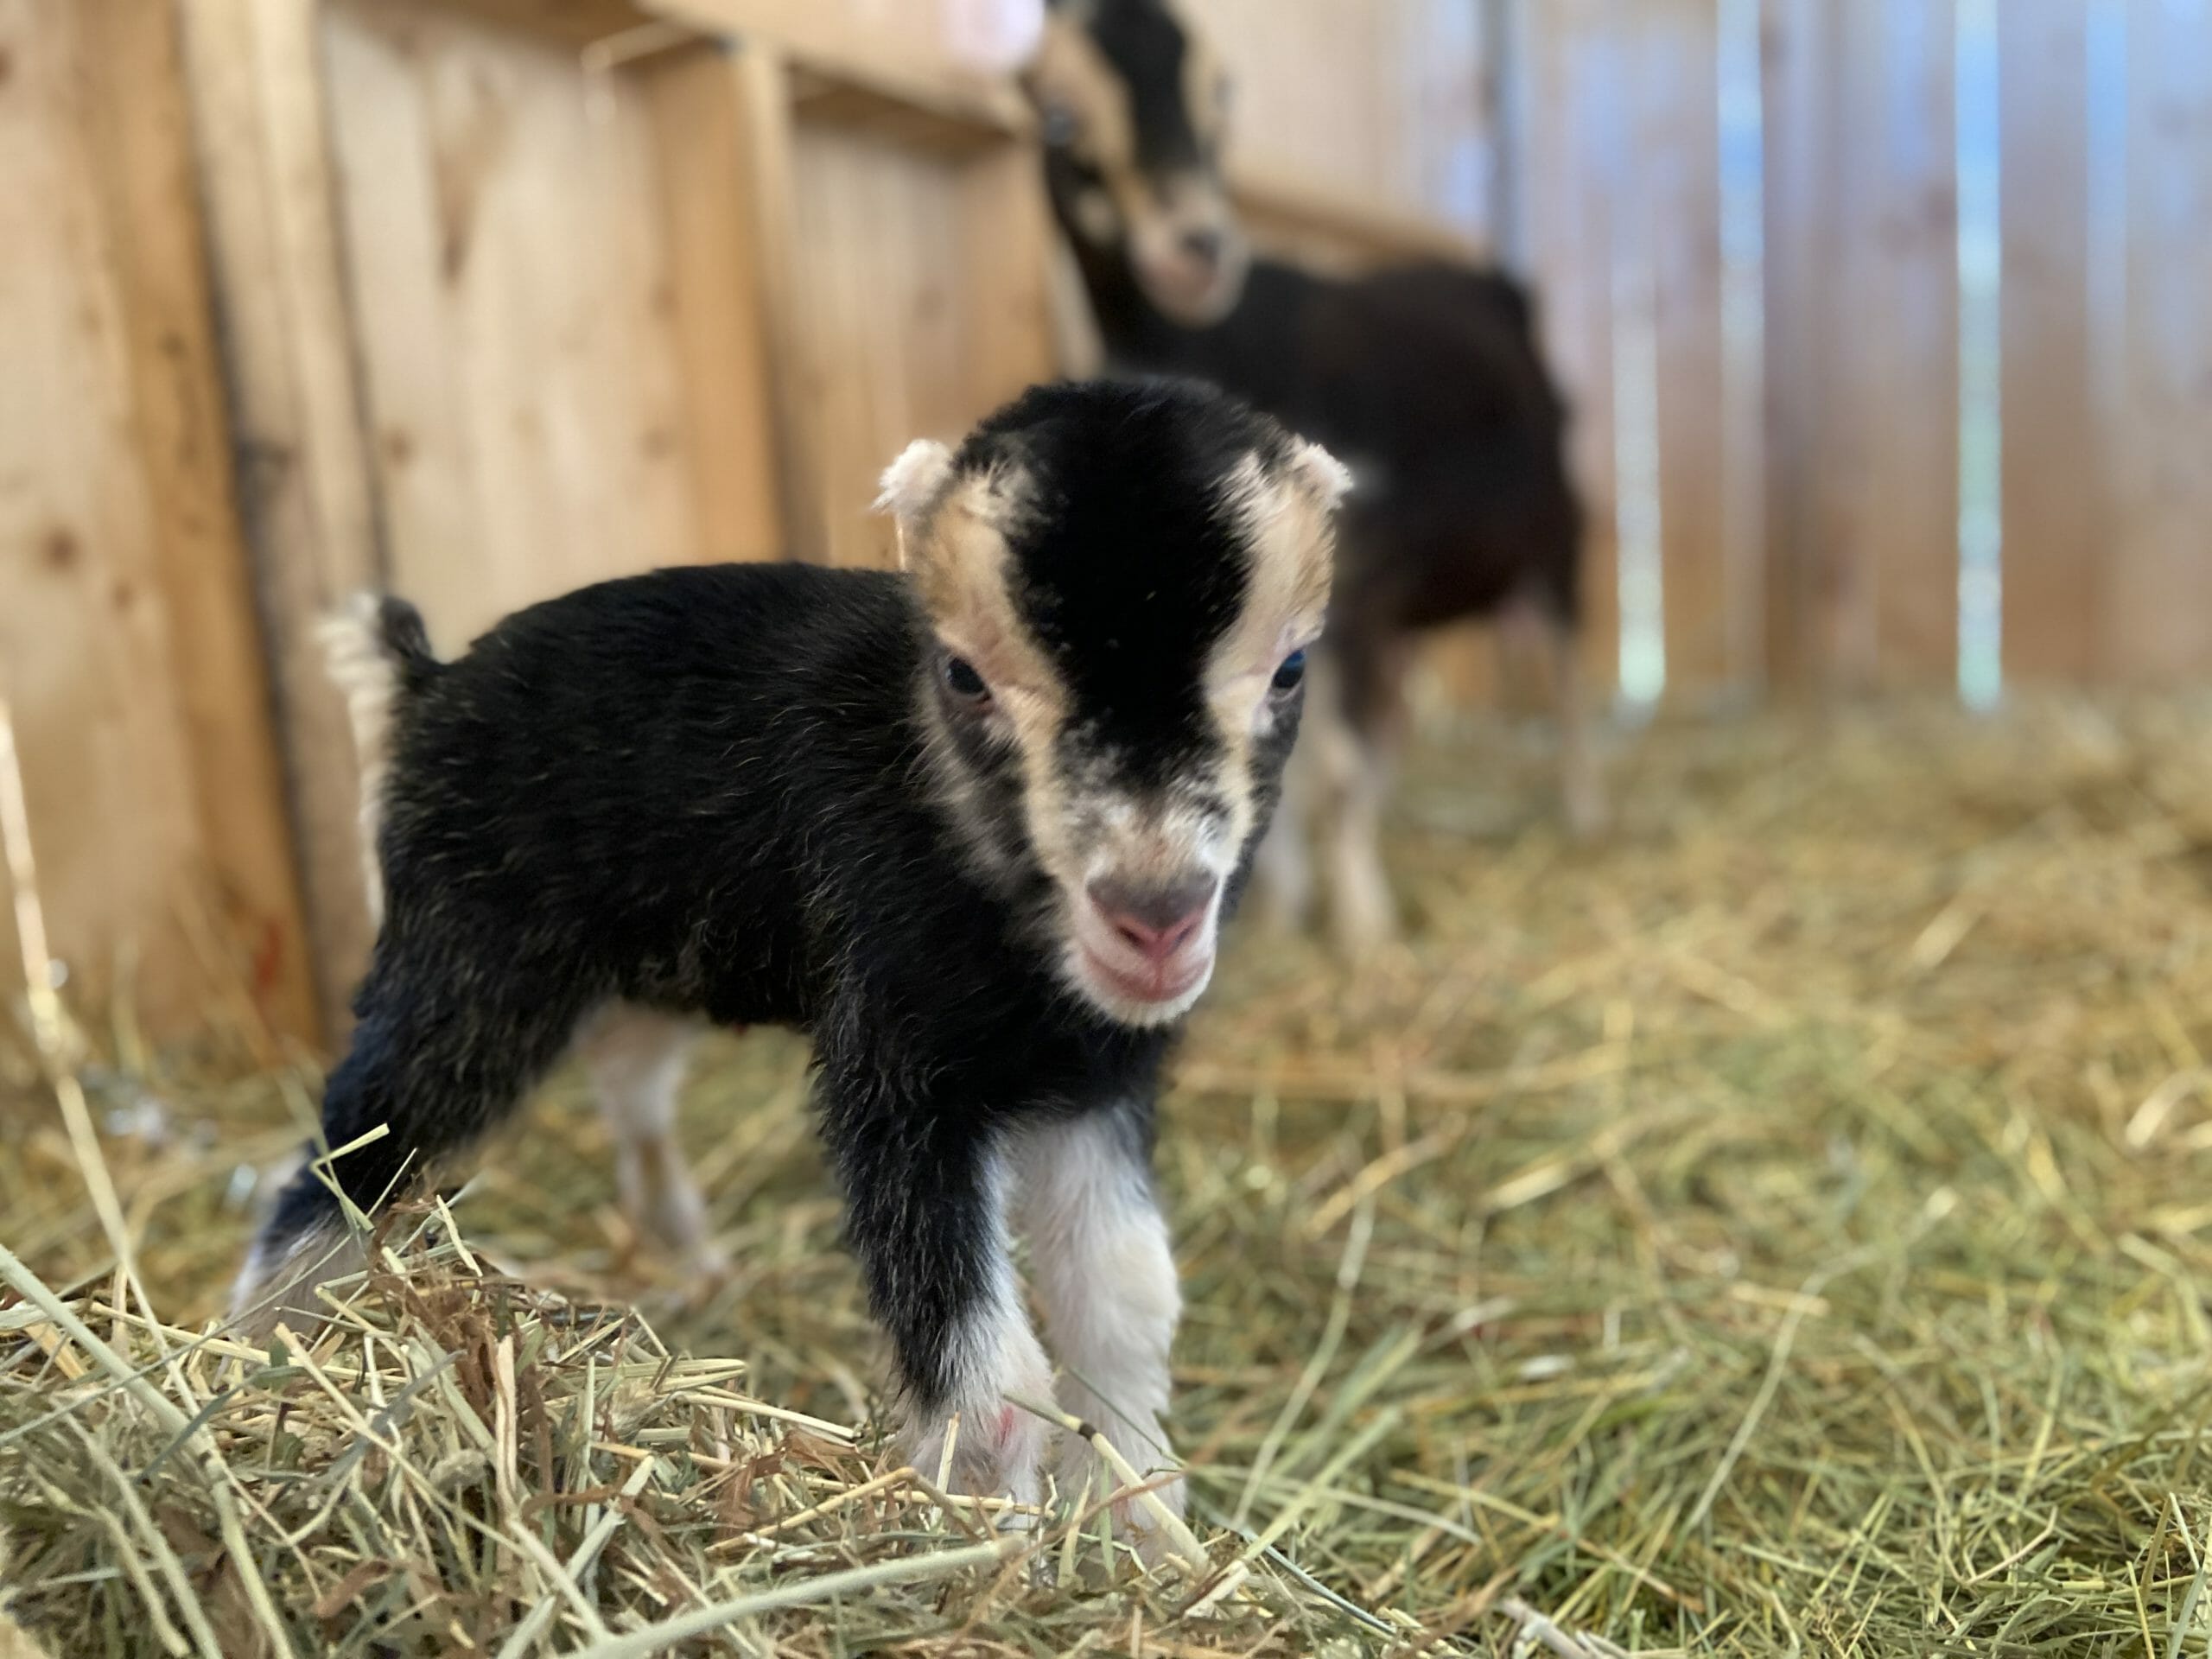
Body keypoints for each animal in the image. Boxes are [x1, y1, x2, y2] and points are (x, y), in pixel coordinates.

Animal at [234, 379, 1349, 1541]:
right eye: (963, 676)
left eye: (1291, 669)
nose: (1156, 912)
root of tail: (426, 684)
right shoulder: (898, 1074)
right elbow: (993, 1391)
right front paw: (985, 1550)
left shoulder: (1095, 1073)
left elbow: (1125, 1308)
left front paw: (1147, 1530)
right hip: (469, 961)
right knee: (358, 1139)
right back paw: (260, 1353)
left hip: (644, 964)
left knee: (628, 1081)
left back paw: (686, 1256)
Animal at [1026, 0, 1604, 950]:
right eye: (1058, 116)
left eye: (1221, 99)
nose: (1196, 247)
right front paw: (1285, 917)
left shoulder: (1359, 577)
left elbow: (1331, 769)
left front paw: (1364, 932)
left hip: (1555, 530)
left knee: (1565, 669)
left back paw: (1581, 807)